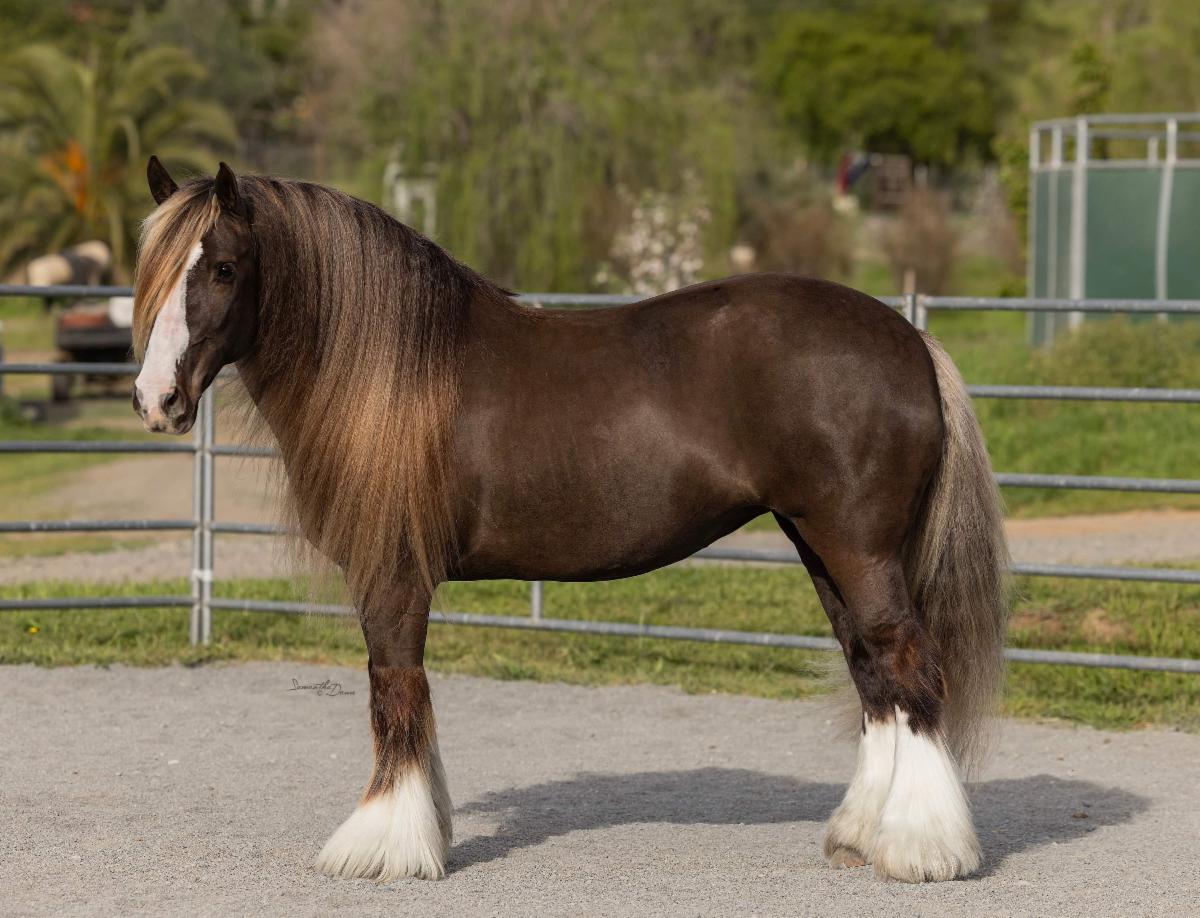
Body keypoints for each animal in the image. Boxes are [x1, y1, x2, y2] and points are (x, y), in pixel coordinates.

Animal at [132, 157, 1008, 884]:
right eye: (154, 271)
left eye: (223, 267)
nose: (155, 399)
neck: (387, 372)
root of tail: (910, 337)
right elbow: (415, 704)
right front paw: (426, 830)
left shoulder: (392, 579)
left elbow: (394, 695)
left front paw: (383, 845)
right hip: (823, 549)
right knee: (872, 676)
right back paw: (863, 834)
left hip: (859, 550)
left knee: (907, 669)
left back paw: (922, 849)